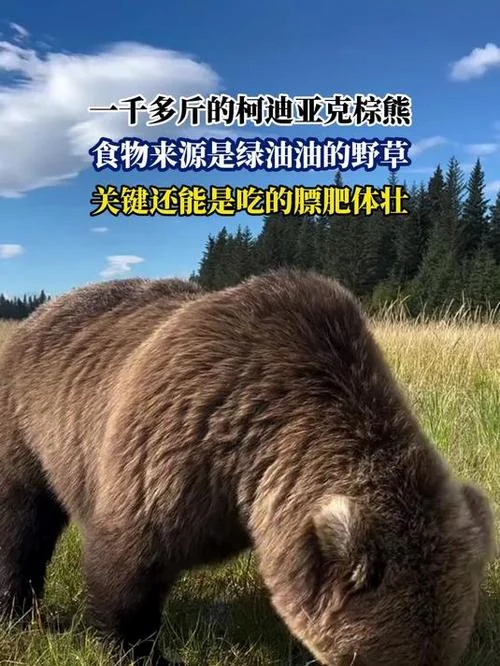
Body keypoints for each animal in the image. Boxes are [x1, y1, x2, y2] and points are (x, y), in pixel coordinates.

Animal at [0, 269, 495, 666]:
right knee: (23, 522)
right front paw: (141, 650)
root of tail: (41, 311)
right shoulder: (180, 443)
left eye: (447, 657)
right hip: (31, 421)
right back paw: (18, 612)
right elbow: (128, 563)